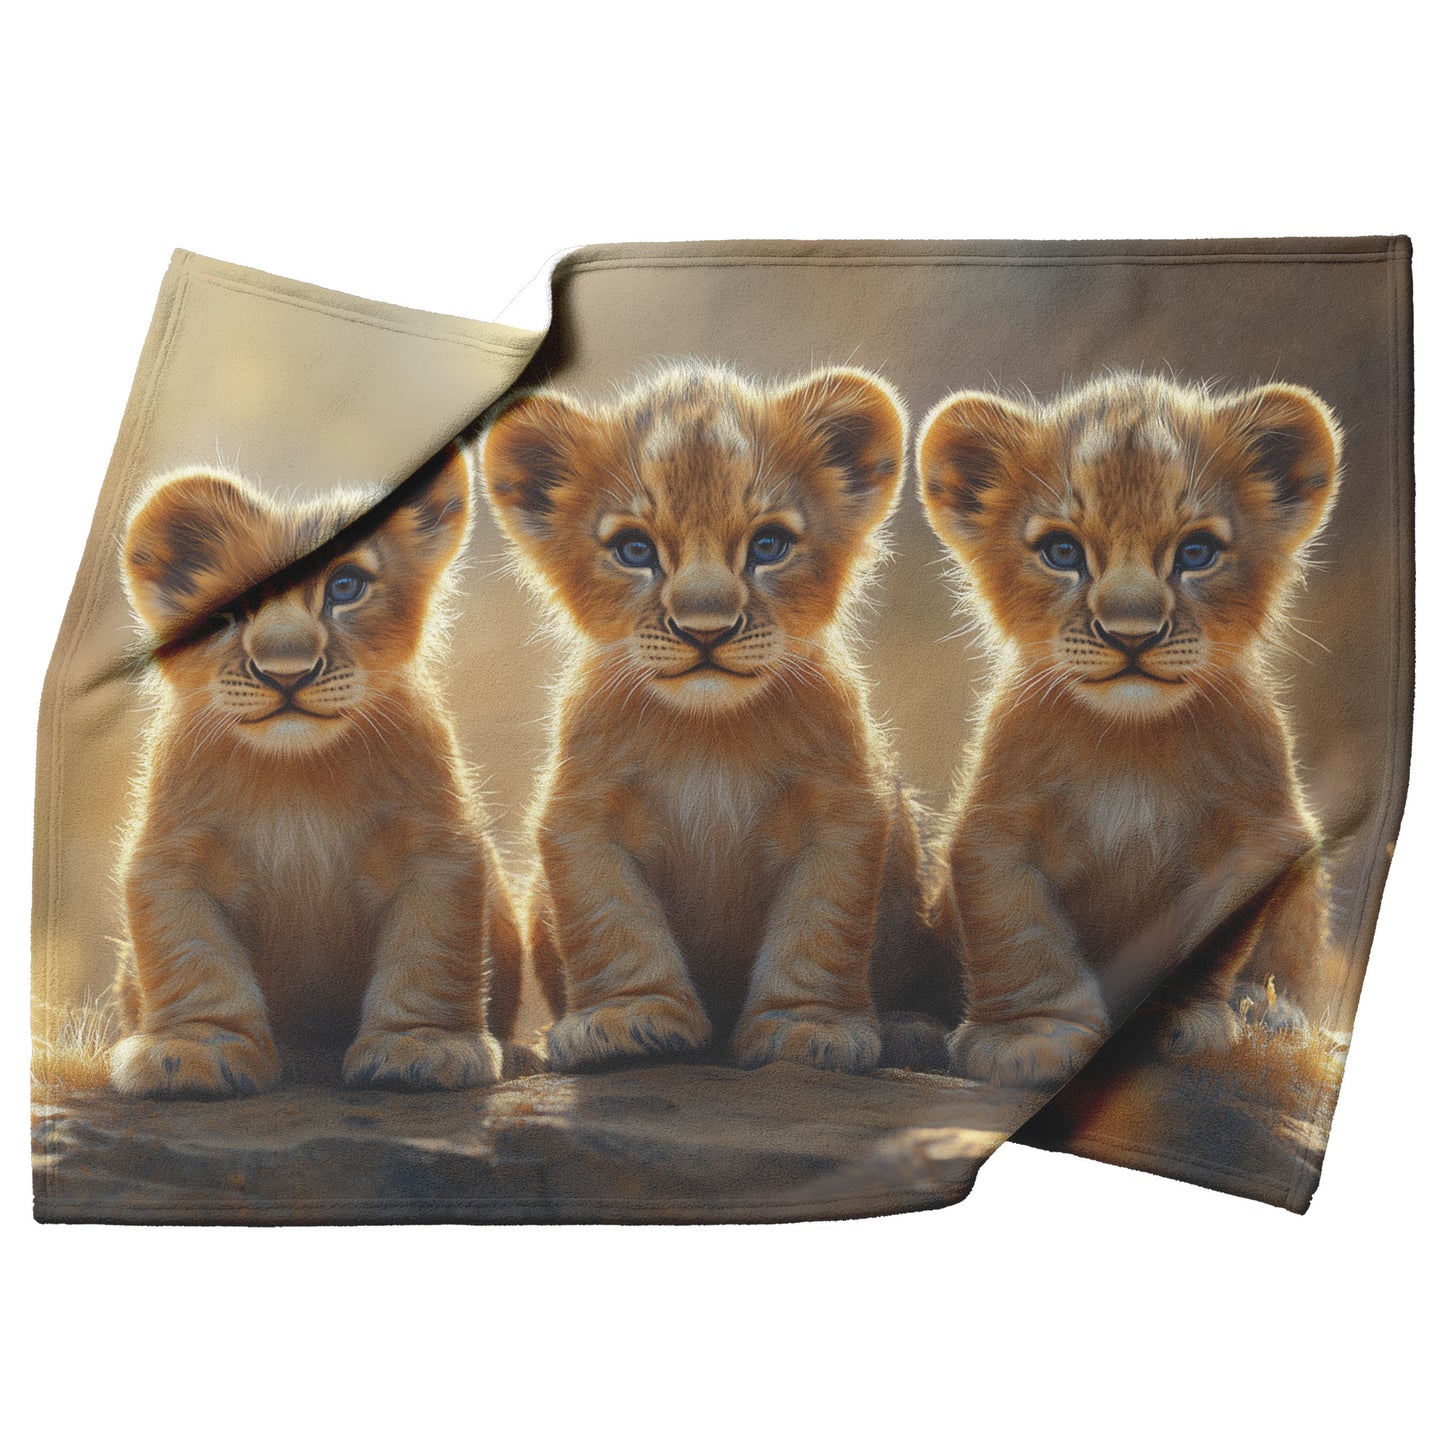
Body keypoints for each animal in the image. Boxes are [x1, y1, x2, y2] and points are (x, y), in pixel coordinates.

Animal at [109, 444, 519, 1097]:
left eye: (346, 587)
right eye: (232, 607)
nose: (287, 672)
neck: (297, 776)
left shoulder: (437, 845)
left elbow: (431, 950)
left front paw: (423, 1047)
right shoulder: (171, 855)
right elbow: (192, 958)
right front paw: (193, 1050)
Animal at [479, 361, 956, 1074]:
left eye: (769, 544)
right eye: (634, 550)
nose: (706, 629)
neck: (710, 733)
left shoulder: (843, 810)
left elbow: (819, 930)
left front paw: (806, 1029)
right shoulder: (582, 813)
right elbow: (612, 923)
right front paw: (626, 1020)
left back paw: (908, 1031)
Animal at [918, 372, 1343, 1089]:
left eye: (1196, 552)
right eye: (1061, 551)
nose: (1131, 634)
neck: (1131, 744)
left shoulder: (1261, 834)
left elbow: (1208, 941)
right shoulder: (997, 828)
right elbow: (1022, 935)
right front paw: (1030, 1037)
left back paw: (1272, 1014)